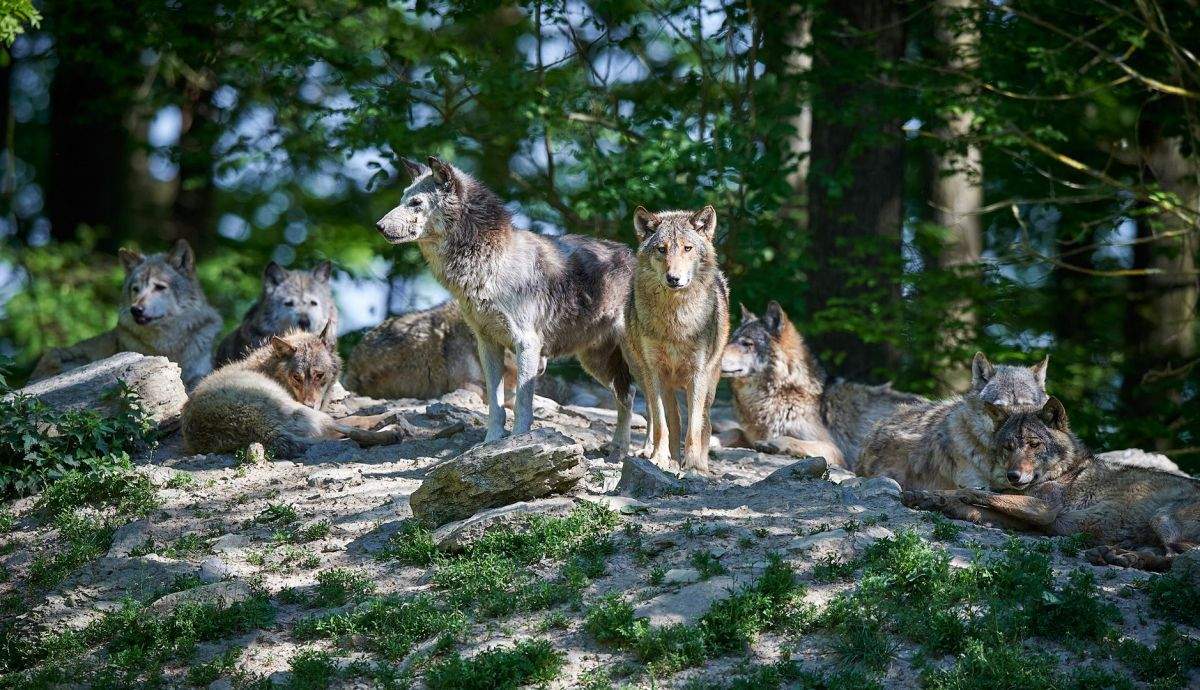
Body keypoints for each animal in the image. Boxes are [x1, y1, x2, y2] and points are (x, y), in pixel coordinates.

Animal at [182, 324, 402, 458]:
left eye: (319, 375)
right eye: (297, 377)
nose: (310, 404)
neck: (270, 369)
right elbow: (352, 418)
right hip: (302, 412)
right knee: (348, 429)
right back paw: (390, 429)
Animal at [374, 157, 635, 456]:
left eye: (415, 202)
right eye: (402, 200)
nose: (378, 226)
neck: (491, 263)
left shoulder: (527, 344)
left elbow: (521, 402)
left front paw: (519, 441)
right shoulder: (488, 345)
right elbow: (496, 406)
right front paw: (491, 442)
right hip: (596, 363)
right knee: (628, 397)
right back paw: (620, 449)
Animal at [624, 206, 729, 473]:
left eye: (687, 248)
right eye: (662, 249)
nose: (673, 278)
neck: (675, 323)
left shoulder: (698, 374)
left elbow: (694, 429)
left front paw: (693, 466)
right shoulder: (653, 373)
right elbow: (663, 425)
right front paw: (659, 459)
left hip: (710, 384)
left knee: (704, 424)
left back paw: (699, 463)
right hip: (649, 378)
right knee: (668, 420)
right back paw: (664, 457)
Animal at [719, 301, 924, 469]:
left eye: (747, 344)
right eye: (730, 341)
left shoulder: (834, 450)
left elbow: (793, 440)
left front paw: (775, 443)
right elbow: (735, 430)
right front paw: (715, 440)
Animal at [904, 397, 1200, 571]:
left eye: (1034, 445)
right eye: (1008, 447)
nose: (1013, 476)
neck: (1062, 472)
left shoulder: (1044, 510)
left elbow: (975, 492)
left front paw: (936, 496)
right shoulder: (1030, 519)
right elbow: (973, 504)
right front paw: (930, 499)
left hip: (1162, 518)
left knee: (1178, 559)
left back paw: (1121, 557)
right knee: (1168, 557)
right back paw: (1115, 555)